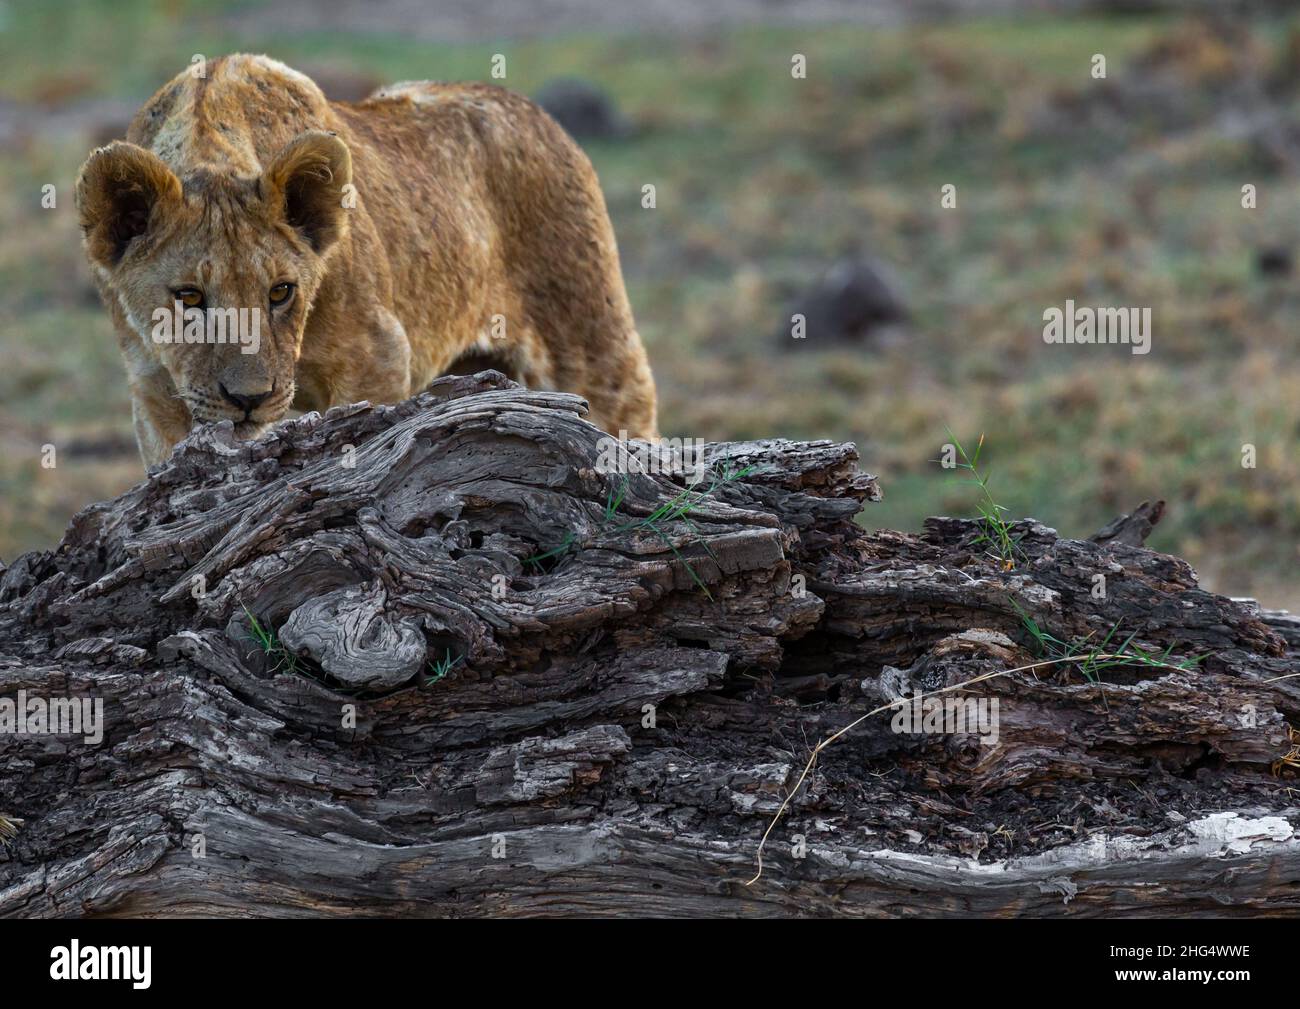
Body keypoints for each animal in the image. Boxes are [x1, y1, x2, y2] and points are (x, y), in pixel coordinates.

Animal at [75, 54, 659, 467]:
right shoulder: (152, 389)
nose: (250, 400)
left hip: (595, 354)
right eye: (189, 297)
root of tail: (537, 112)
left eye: (280, 291)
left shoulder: (378, 355)